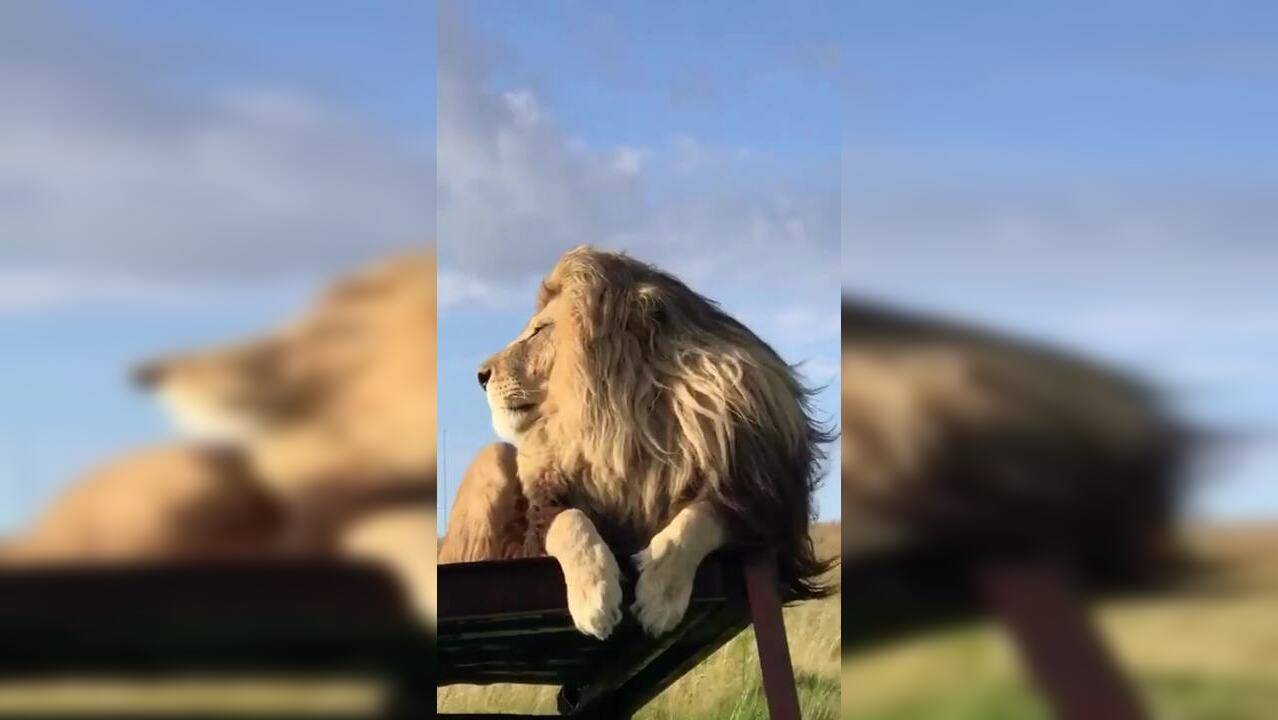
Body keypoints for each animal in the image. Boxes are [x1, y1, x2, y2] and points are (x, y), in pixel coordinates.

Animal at [440, 246, 834, 640]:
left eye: (540, 330)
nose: (480, 375)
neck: (631, 424)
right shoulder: (539, 520)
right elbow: (570, 521)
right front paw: (595, 597)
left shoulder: (766, 509)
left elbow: (700, 517)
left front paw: (660, 596)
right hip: (494, 458)